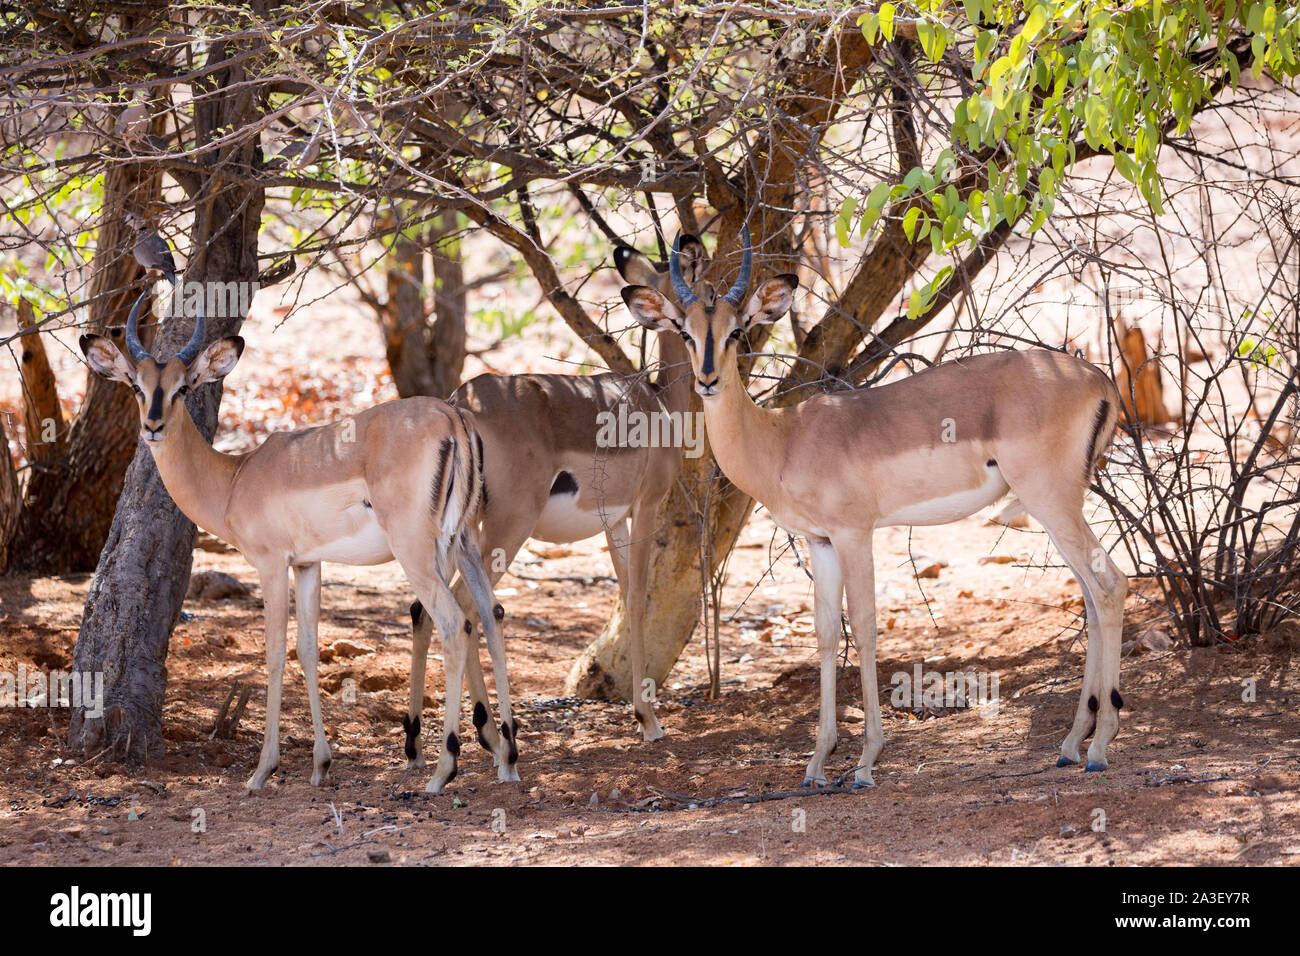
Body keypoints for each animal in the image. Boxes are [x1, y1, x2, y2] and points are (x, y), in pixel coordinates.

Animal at [79, 288, 516, 793]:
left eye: (182, 387)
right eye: (137, 385)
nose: (152, 427)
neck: (235, 480)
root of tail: (452, 417)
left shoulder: (271, 564)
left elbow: (273, 654)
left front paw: (262, 770)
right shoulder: (309, 564)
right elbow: (308, 651)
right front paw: (320, 765)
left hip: (418, 555)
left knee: (452, 623)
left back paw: (443, 770)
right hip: (464, 545)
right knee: (489, 614)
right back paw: (508, 759)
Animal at [406, 237, 707, 761]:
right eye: (705, 293)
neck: (660, 405)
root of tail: (462, 403)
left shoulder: (614, 521)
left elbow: (624, 594)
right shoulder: (646, 507)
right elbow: (638, 598)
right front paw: (648, 720)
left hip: (460, 532)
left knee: (429, 610)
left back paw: (418, 744)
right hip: (508, 526)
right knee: (468, 610)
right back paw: (491, 736)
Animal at [621, 231, 1128, 789]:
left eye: (736, 331)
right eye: (686, 332)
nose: (708, 381)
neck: (783, 440)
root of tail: (1099, 380)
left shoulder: (853, 533)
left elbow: (863, 626)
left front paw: (865, 762)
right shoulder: (819, 542)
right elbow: (826, 633)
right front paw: (817, 763)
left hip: (1051, 500)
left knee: (1110, 585)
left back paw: (1099, 747)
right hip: (1053, 508)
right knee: (1091, 594)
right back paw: (1071, 744)